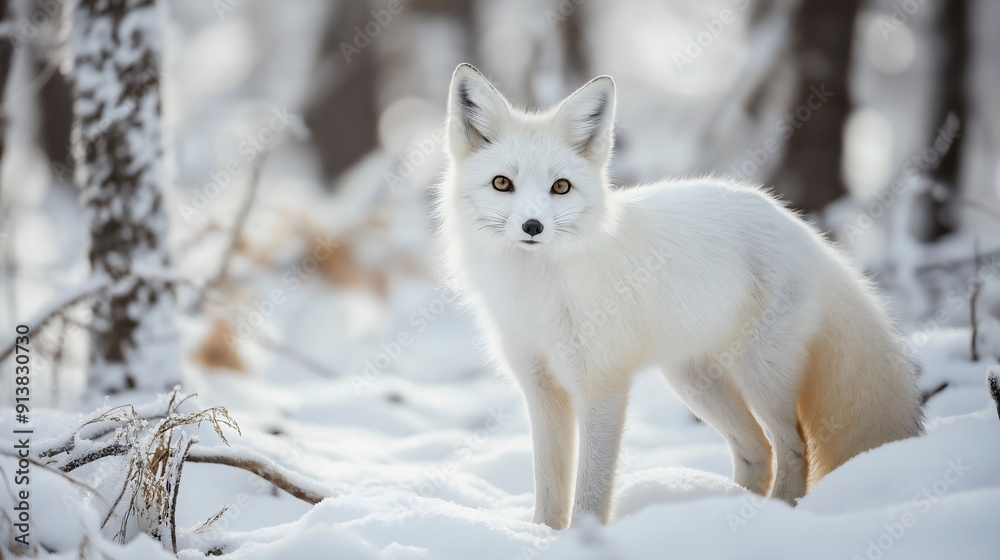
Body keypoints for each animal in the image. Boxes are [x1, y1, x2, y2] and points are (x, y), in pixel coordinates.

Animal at [435, 63, 924, 529]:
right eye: (502, 184)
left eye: (560, 187)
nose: (533, 227)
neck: (540, 289)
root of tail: (807, 234)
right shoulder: (540, 387)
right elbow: (549, 486)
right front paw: (542, 536)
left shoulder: (603, 386)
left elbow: (590, 489)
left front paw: (582, 538)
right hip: (694, 383)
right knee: (758, 451)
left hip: (760, 377)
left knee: (792, 447)